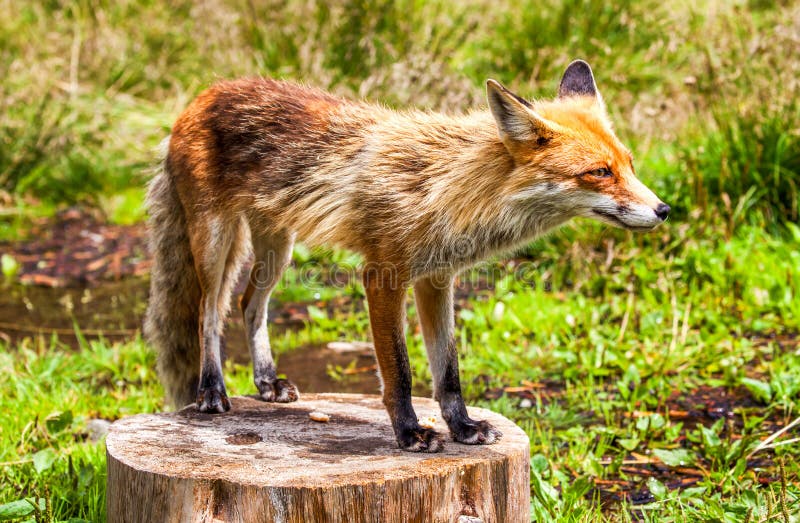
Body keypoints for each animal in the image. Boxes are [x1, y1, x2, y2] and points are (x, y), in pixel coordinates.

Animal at [144, 60, 669, 453]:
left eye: (628, 165)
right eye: (599, 172)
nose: (664, 210)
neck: (450, 187)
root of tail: (206, 92)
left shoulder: (437, 279)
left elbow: (448, 372)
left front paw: (462, 428)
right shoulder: (383, 275)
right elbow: (400, 371)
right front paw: (411, 433)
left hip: (278, 247)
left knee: (249, 304)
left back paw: (267, 382)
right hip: (216, 240)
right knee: (209, 312)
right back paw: (212, 390)